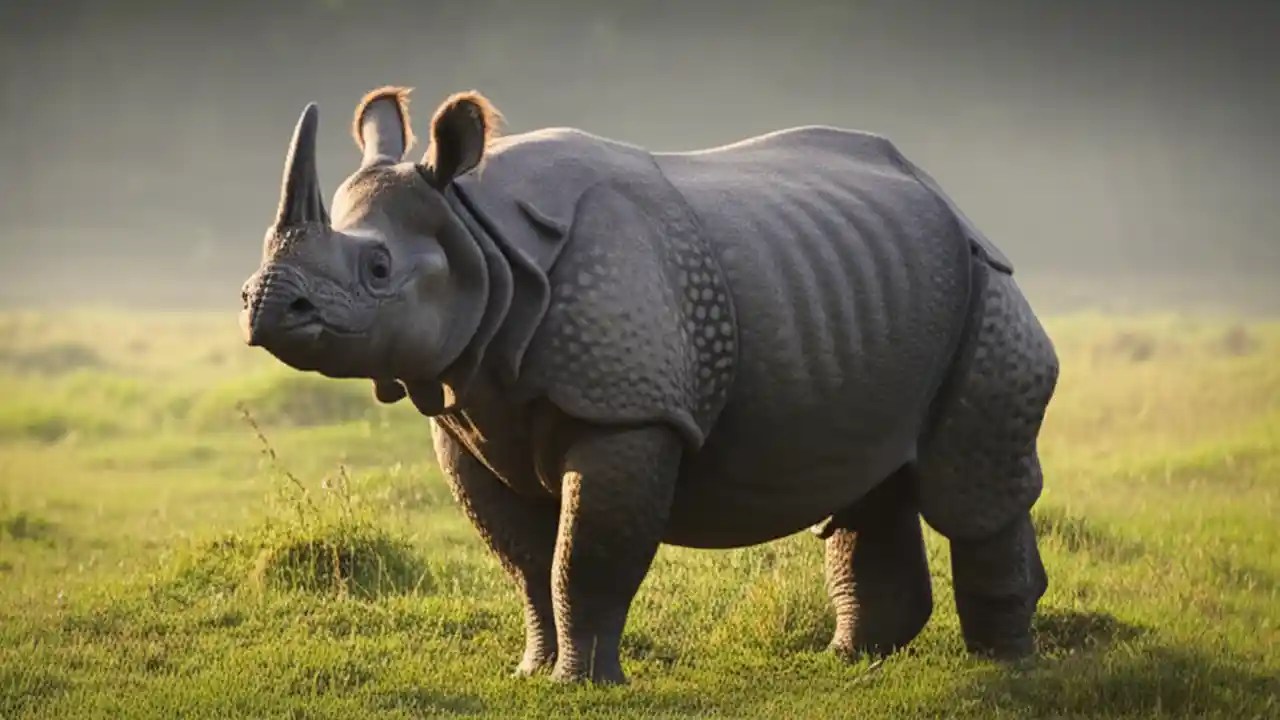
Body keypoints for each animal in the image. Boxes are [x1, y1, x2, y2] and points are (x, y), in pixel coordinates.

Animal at [240, 86, 1059, 684]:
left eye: (378, 269)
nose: (266, 305)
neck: (479, 234)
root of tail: (947, 196)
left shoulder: (628, 410)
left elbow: (586, 554)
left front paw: (581, 685)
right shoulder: (468, 412)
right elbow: (526, 562)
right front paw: (531, 674)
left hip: (985, 288)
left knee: (969, 489)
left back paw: (1006, 665)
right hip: (861, 280)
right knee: (868, 476)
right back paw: (854, 660)